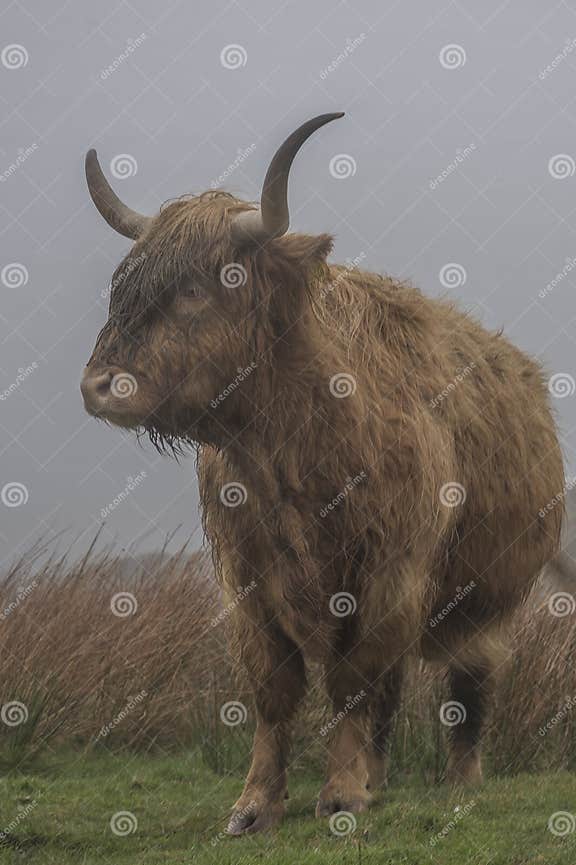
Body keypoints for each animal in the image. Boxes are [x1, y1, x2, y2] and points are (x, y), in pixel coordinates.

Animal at [80, 113, 564, 835]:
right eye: (121, 286)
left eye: (196, 287)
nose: (98, 385)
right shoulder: (246, 578)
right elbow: (275, 690)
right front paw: (255, 806)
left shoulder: (391, 570)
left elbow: (352, 680)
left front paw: (339, 795)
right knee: (393, 689)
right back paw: (380, 778)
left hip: (488, 598)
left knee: (467, 686)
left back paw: (460, 780)